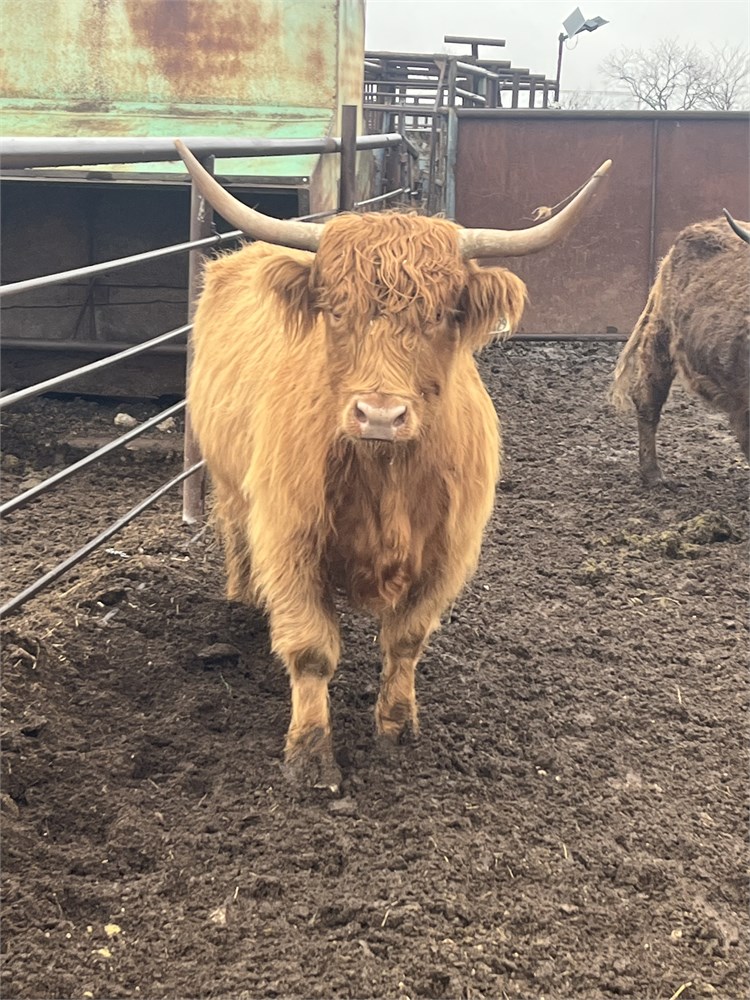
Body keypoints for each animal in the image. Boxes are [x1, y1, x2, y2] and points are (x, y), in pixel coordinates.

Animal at [176, 139, 610, 790]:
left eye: (442, 315)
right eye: (334, 311)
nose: (379, 415)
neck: (384, 478)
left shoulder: (446, 551)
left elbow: (405, 641)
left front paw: (398, 727)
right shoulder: (290, 535)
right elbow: (311, 650)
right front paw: (310, 754)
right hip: (227, 476)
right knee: (234, 530)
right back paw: (244, 598)